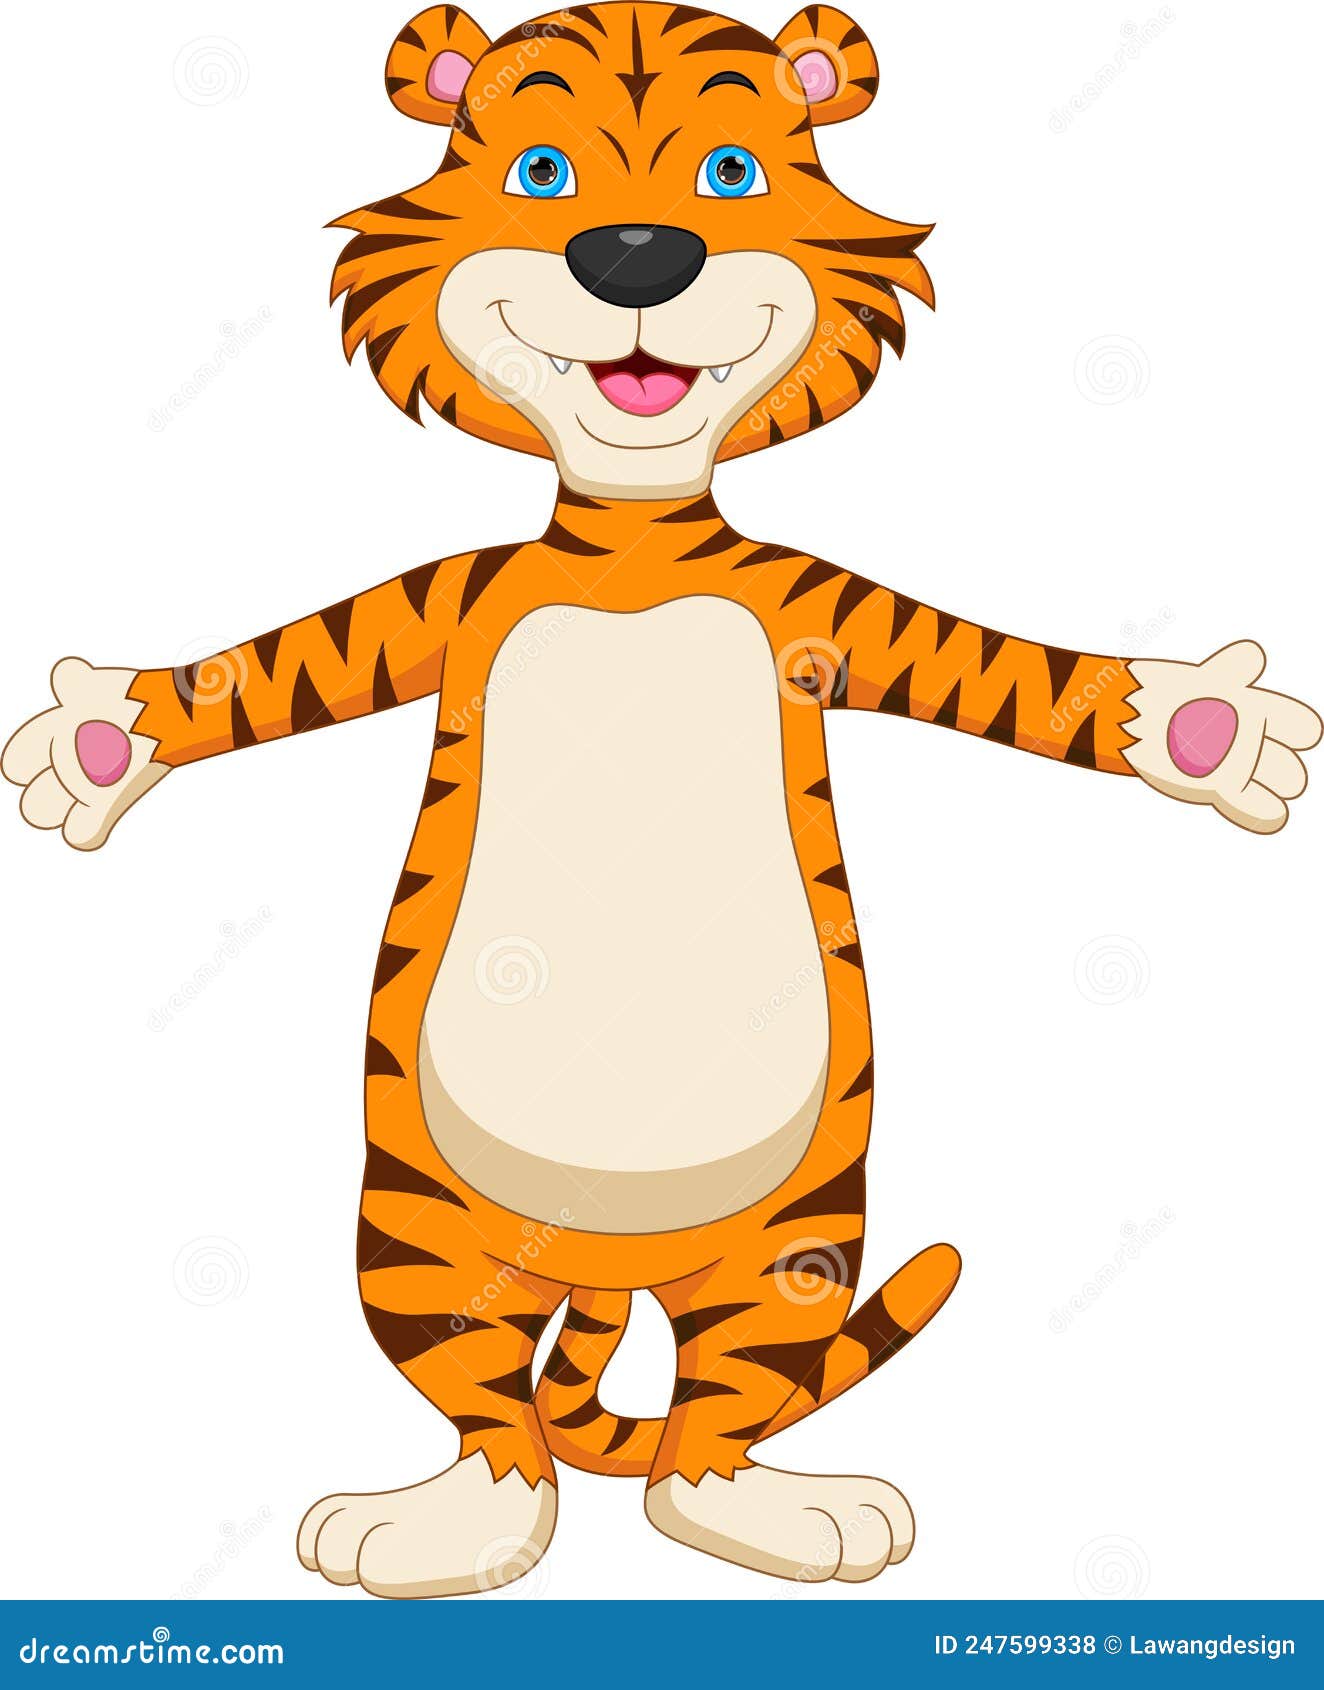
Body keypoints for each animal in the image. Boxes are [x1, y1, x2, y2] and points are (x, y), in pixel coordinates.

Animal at [4, 2, 1319, 1600]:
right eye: (544, 172)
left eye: (732, 172)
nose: (636, 256)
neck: (634, 537)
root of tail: (614, 1270)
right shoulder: (439, 605)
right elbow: (274, 667)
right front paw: (105, 740)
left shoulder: (834, 616)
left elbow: (1006, 675)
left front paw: (1195, 725)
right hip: (420, 1221)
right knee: (487, 1400)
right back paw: (457, 1521)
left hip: (795, 1234)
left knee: (712, 1413)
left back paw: (764, 1507)